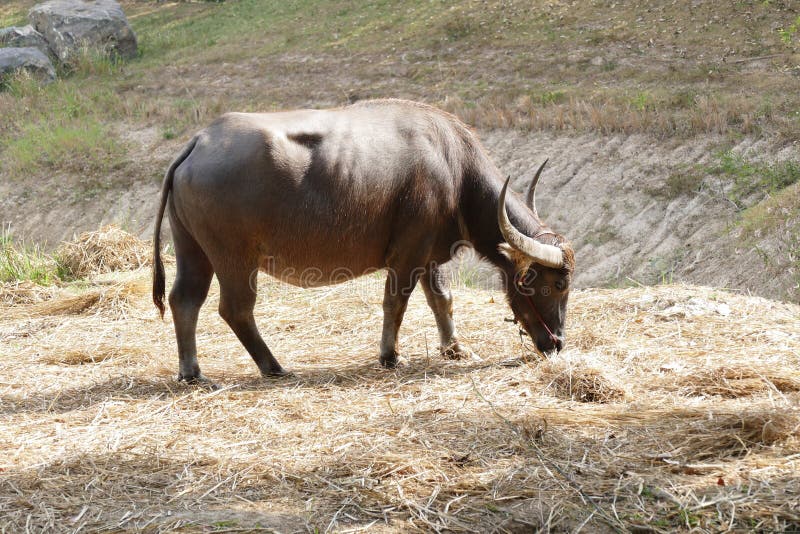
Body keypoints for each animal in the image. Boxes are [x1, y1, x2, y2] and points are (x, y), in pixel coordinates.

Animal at [152, 99, 575, 384]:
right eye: (556, 284)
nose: (556, 343)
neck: (455, 169)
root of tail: (200, 141)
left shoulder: (429, 255)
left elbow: (441, 299)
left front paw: (454, 347)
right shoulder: (408, 252)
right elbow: (396, 302)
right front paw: (390, 355)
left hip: (193, 249)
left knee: (185, 299)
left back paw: (192, 371)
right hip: (234, 257)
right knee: (235, 309)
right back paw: (273, 366)